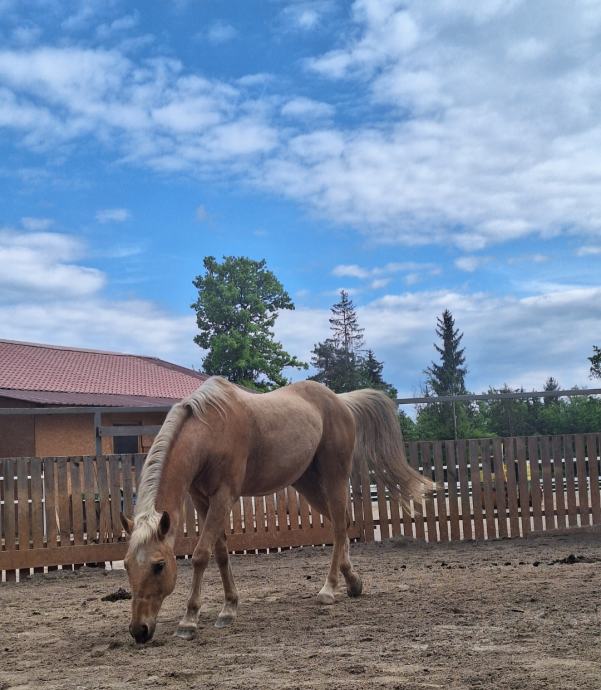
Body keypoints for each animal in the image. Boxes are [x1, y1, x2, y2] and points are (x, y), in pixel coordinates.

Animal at [120, 376, 433, 643]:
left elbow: (201, 555)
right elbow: (220, 554)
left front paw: (189, 620)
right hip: (307, 483)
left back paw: (329, 589)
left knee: (339, 527)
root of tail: (340, 401)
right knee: (341, 523)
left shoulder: (224, 497)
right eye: (126, 565)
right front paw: (229, 608)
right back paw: (353, 582)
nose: (139, 630)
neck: (210, 429)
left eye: (159, 565)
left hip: (334, 477)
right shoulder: (201, 499)